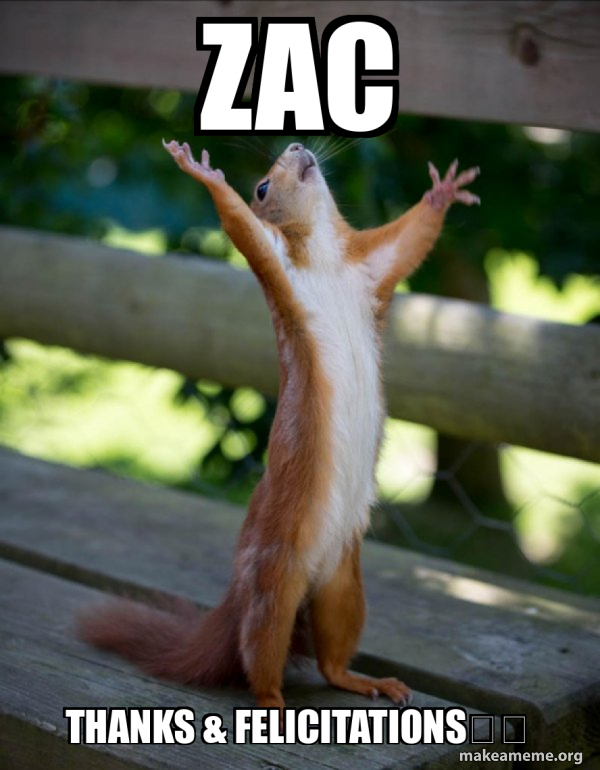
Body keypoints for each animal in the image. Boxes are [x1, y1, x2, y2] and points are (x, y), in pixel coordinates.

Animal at [78, 139, 479, 713]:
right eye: (262, 187)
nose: (295, 145)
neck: (327, 258)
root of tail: (238, 596)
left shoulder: (372, 267)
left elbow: (410, 240)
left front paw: (443, 191)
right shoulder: (277, 264)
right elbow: (240, 225)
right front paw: (204, 173)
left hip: (344, 586)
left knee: (332, 658)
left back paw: (365, 680)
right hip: (274, 583)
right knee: (259, 654)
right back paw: (273, 701)